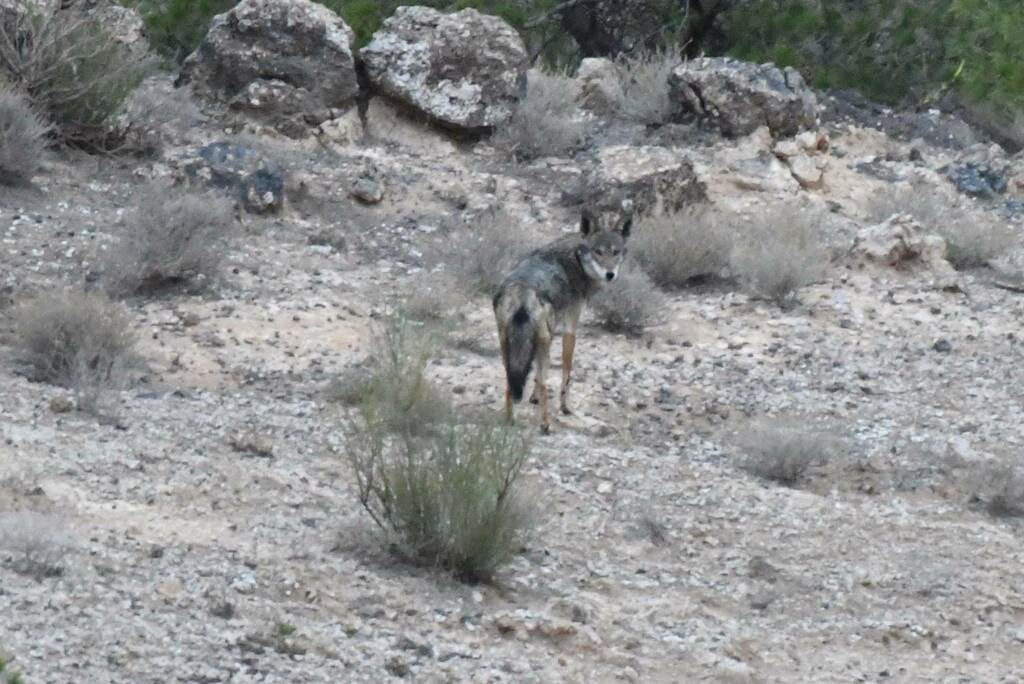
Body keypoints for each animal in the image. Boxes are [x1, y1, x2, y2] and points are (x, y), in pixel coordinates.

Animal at [493, 210, 631, 432]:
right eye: (598, 252)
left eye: (615, 252)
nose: (610, 274)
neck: (576, 259)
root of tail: (524, 294)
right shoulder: (570, 329)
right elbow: (567, 372)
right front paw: (566, 407)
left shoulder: (552, 334)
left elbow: (533, 377)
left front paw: (533, 398)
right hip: (538, 342)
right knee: (544, 382)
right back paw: (545, 424)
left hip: (510, 346)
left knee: (511, 382)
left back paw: (510, 420)